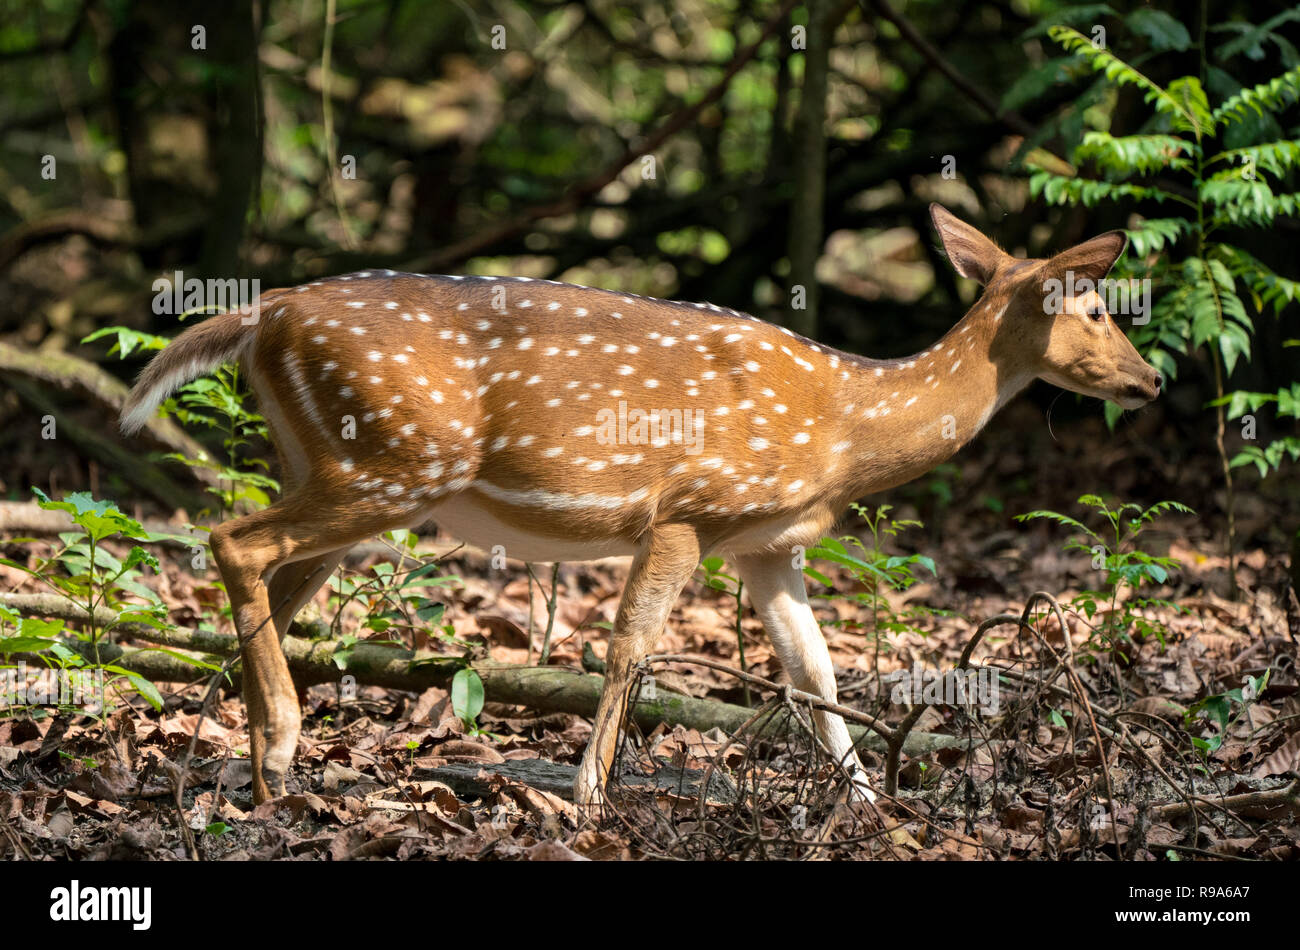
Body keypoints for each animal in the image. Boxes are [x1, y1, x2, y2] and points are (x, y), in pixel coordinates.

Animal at [119, 204, 1162, 807]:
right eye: (1096, 309)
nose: (1151, 379)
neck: (842, 428)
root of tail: (264, 314)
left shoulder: (767, 541)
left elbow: (815, 673)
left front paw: (870, 808)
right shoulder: (690, 509)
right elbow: (630, 649)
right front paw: (587, 800)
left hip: (342, 464)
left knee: (273, 578)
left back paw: (234, 765)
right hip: (395, 462)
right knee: (234, 539)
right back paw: (280, 749)